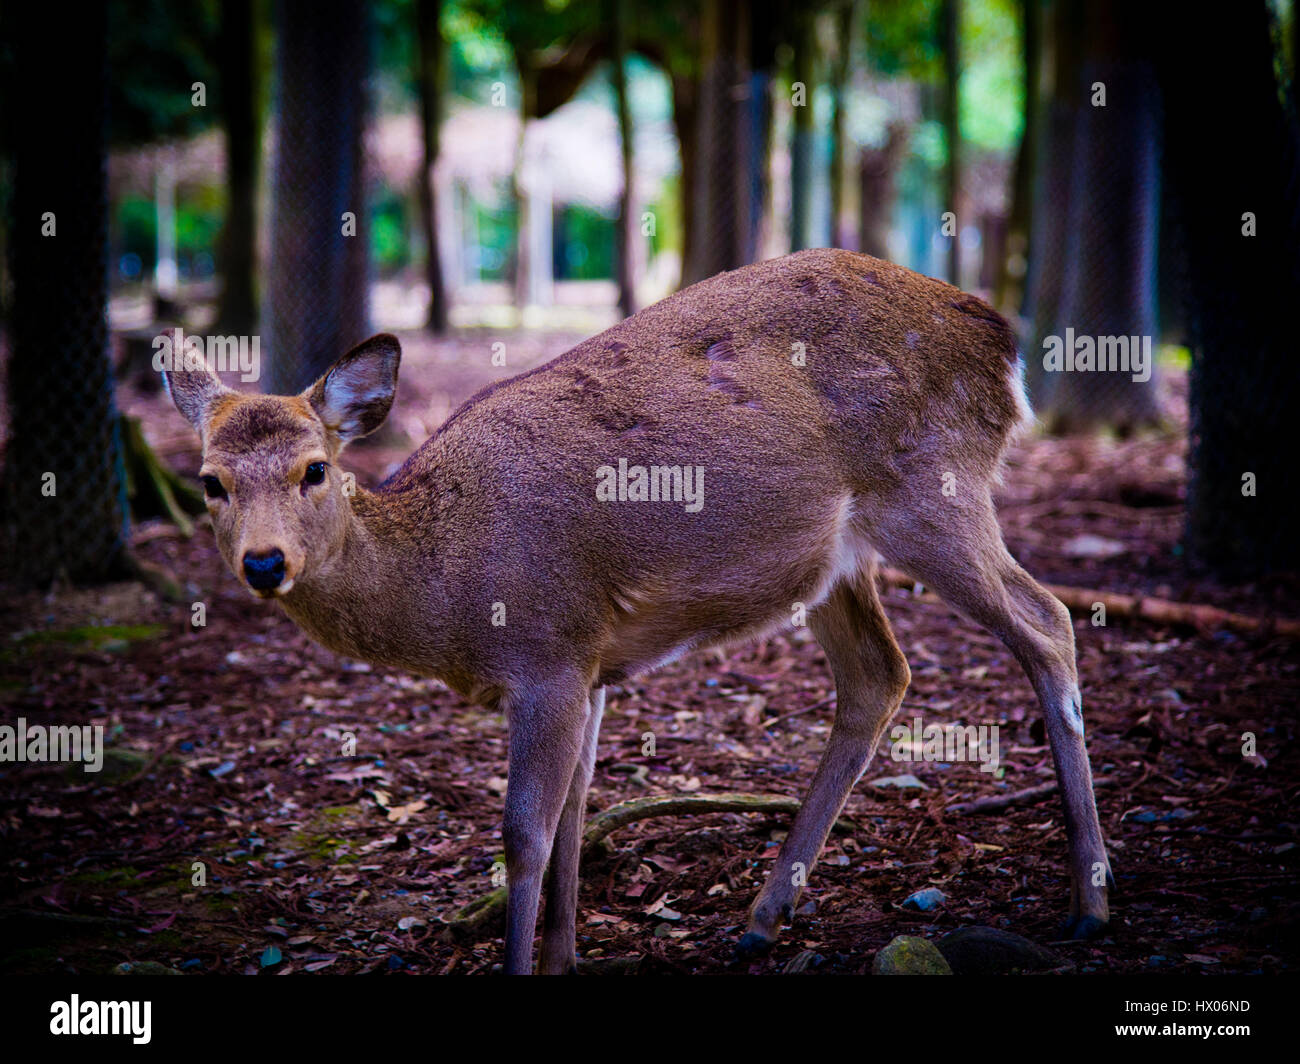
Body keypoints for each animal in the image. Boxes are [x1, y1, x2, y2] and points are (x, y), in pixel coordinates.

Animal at [164, 248, 1112, 975]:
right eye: (209, 482)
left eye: (315, 470)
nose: (263, 562)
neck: (451, 587)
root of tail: (1000, 340)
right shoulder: (591, 664)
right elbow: (576, 815)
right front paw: (564, 958)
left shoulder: (546, 651)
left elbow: (525, 833)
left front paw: (525, 965)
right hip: (834, 559)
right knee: (880, 674)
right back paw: (763, 917)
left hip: (933, 489)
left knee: (1048, 621)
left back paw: (1092, 901)